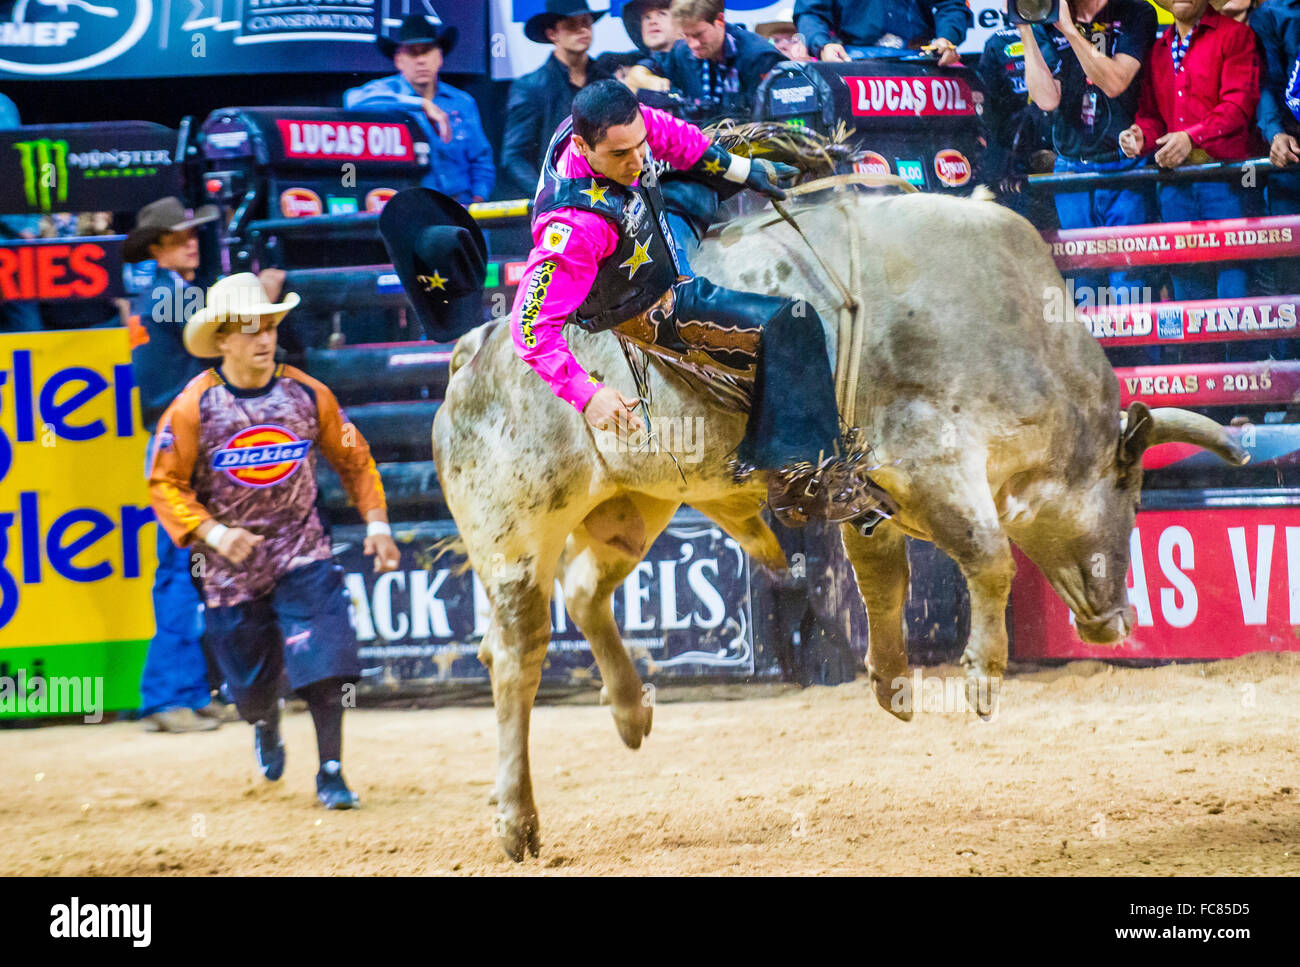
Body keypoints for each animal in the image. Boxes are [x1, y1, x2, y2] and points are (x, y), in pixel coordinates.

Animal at [432, 185, 1247, 861]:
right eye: (1129, 487)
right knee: (517, 653)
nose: (1118, 618)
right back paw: (517, 820)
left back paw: (632, 712)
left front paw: (892, 683)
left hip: (633, 506)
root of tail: (477, 353)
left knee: (583, 589)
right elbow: (988, 555)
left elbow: (885, 578)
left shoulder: (874, 494)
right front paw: (982, 676)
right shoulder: (929, 460)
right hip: (516, 537)